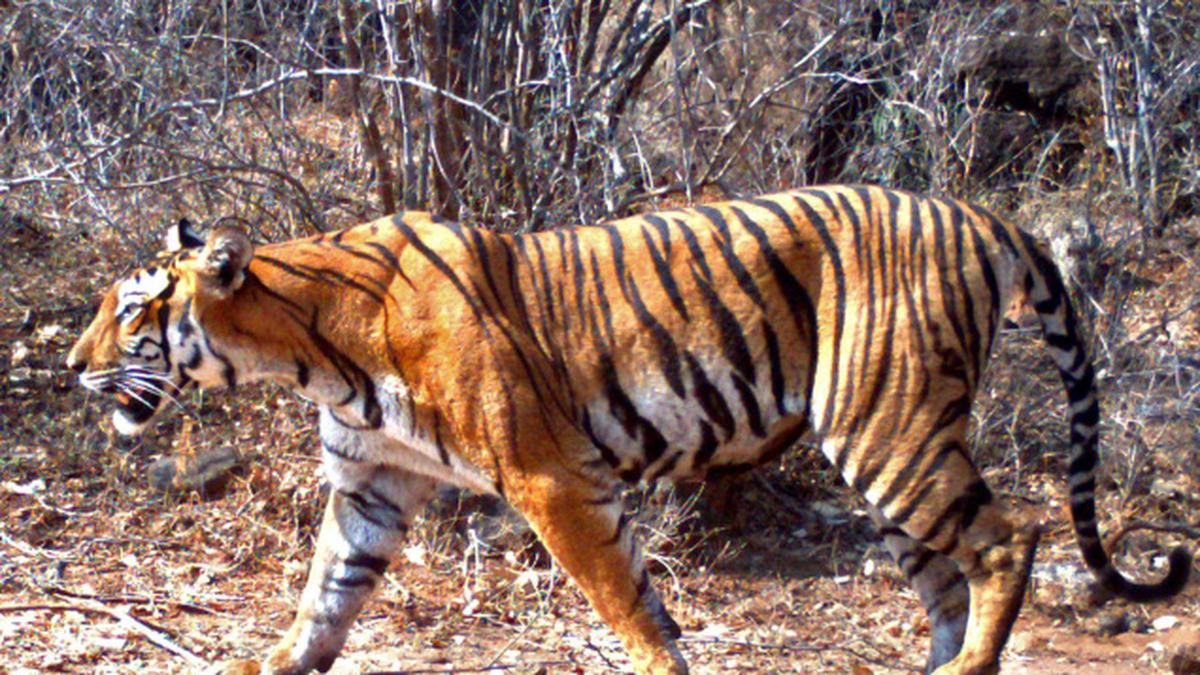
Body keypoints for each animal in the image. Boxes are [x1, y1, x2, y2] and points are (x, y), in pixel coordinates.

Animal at [66, 185, 1190, 675]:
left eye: (129, 312)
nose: (71, 366)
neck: (309, 350)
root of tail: (986, 214)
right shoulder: (371, 486)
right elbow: (322, 601)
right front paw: (273, 664)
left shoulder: (550, 479)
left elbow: (628, 605)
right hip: (886, 458)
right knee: (949, 579)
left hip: (890, 430)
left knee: (1010, 540)